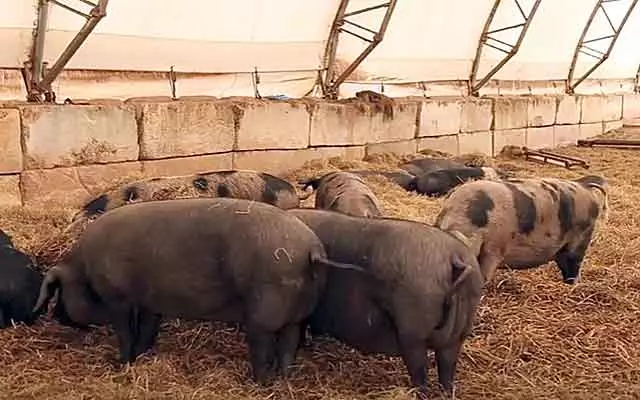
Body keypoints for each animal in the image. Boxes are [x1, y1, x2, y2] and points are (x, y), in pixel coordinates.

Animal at [32, 198, 364, 382]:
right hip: (298, 311)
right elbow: (147, 329)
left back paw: (256, 382)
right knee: (289, 345)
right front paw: (141, 355)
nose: (58, 317)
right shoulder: (152, 301)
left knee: (263, 347)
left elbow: (126, 332)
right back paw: (283, 380)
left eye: (58, 293)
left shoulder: (119, 298)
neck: (85, 268)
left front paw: (120, 363)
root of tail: (311, 250)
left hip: (263, 308)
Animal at [288, 208, 482, 398]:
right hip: (457, 335)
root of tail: (454, 257)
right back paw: (446, 392)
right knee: (447, 371)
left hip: (413, 334)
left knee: (420, 372)